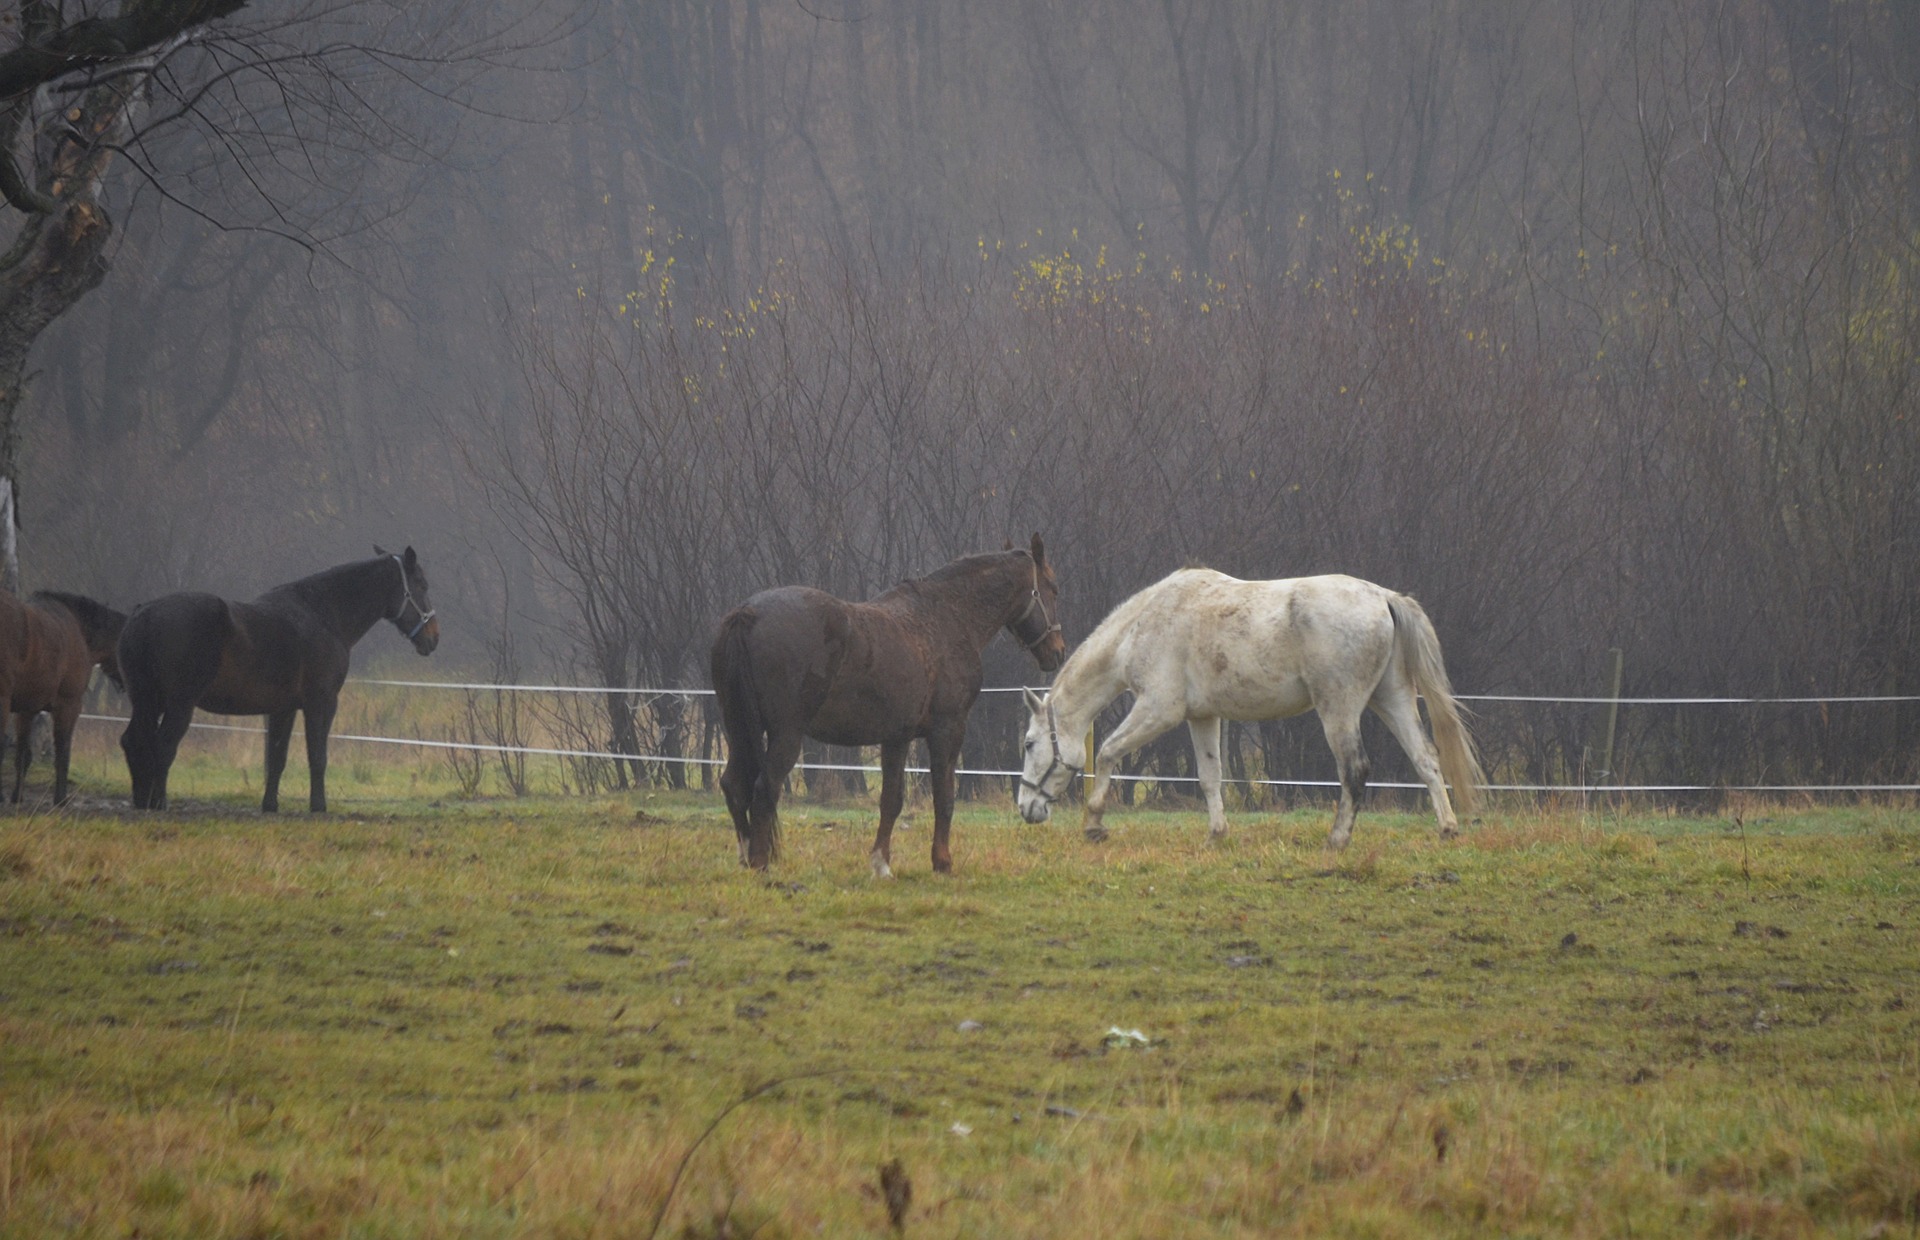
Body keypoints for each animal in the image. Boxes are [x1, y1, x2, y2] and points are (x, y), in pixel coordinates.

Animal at [0, 591, 127, 805]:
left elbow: (23, 756)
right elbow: (62, 753)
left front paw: (17, 796)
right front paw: (61, 798)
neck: (79, 630)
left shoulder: (27, 710)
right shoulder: (69, 706)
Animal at [116, 547, 440, 812]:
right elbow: (317, 755)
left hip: (147, 700)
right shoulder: (321, 703)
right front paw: (318, 806)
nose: (433, 638)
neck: (323, 615)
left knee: (134, 741)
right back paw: (159, 802)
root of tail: (144, 613)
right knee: (163, 745)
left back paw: (142, 799)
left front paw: (270, 805)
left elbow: (277, 757)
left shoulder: (283, 709)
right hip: (179, 703)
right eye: (422, 585)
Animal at [711, 535, 1067, 876]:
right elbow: (944, 798)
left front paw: (881, 863)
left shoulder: (897, 737)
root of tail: (747, 614)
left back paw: (745, 856)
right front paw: (942, 862)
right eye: (1053, 588)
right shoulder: (947, 730)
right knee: (763, 789)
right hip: (785, 735)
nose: (1058, 652)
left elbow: (891, 801)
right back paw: (760, 864)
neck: (948, 618)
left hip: (738, 729)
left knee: (733, 784)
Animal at [1016, 568, 1482, 850]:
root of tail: (1383, 597)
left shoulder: (1159, 710)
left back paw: (1336, 840)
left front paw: (1094, 823)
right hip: (1393, 699)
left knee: (1355, 770)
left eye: (1029, 744)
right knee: (1426, 760)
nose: (1025, 810)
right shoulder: (1202, 717)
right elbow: (1209, 778)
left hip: (1339, 708)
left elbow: (1109, 750)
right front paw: (1216, 835)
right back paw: (1447, 828)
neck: (1143, 625)